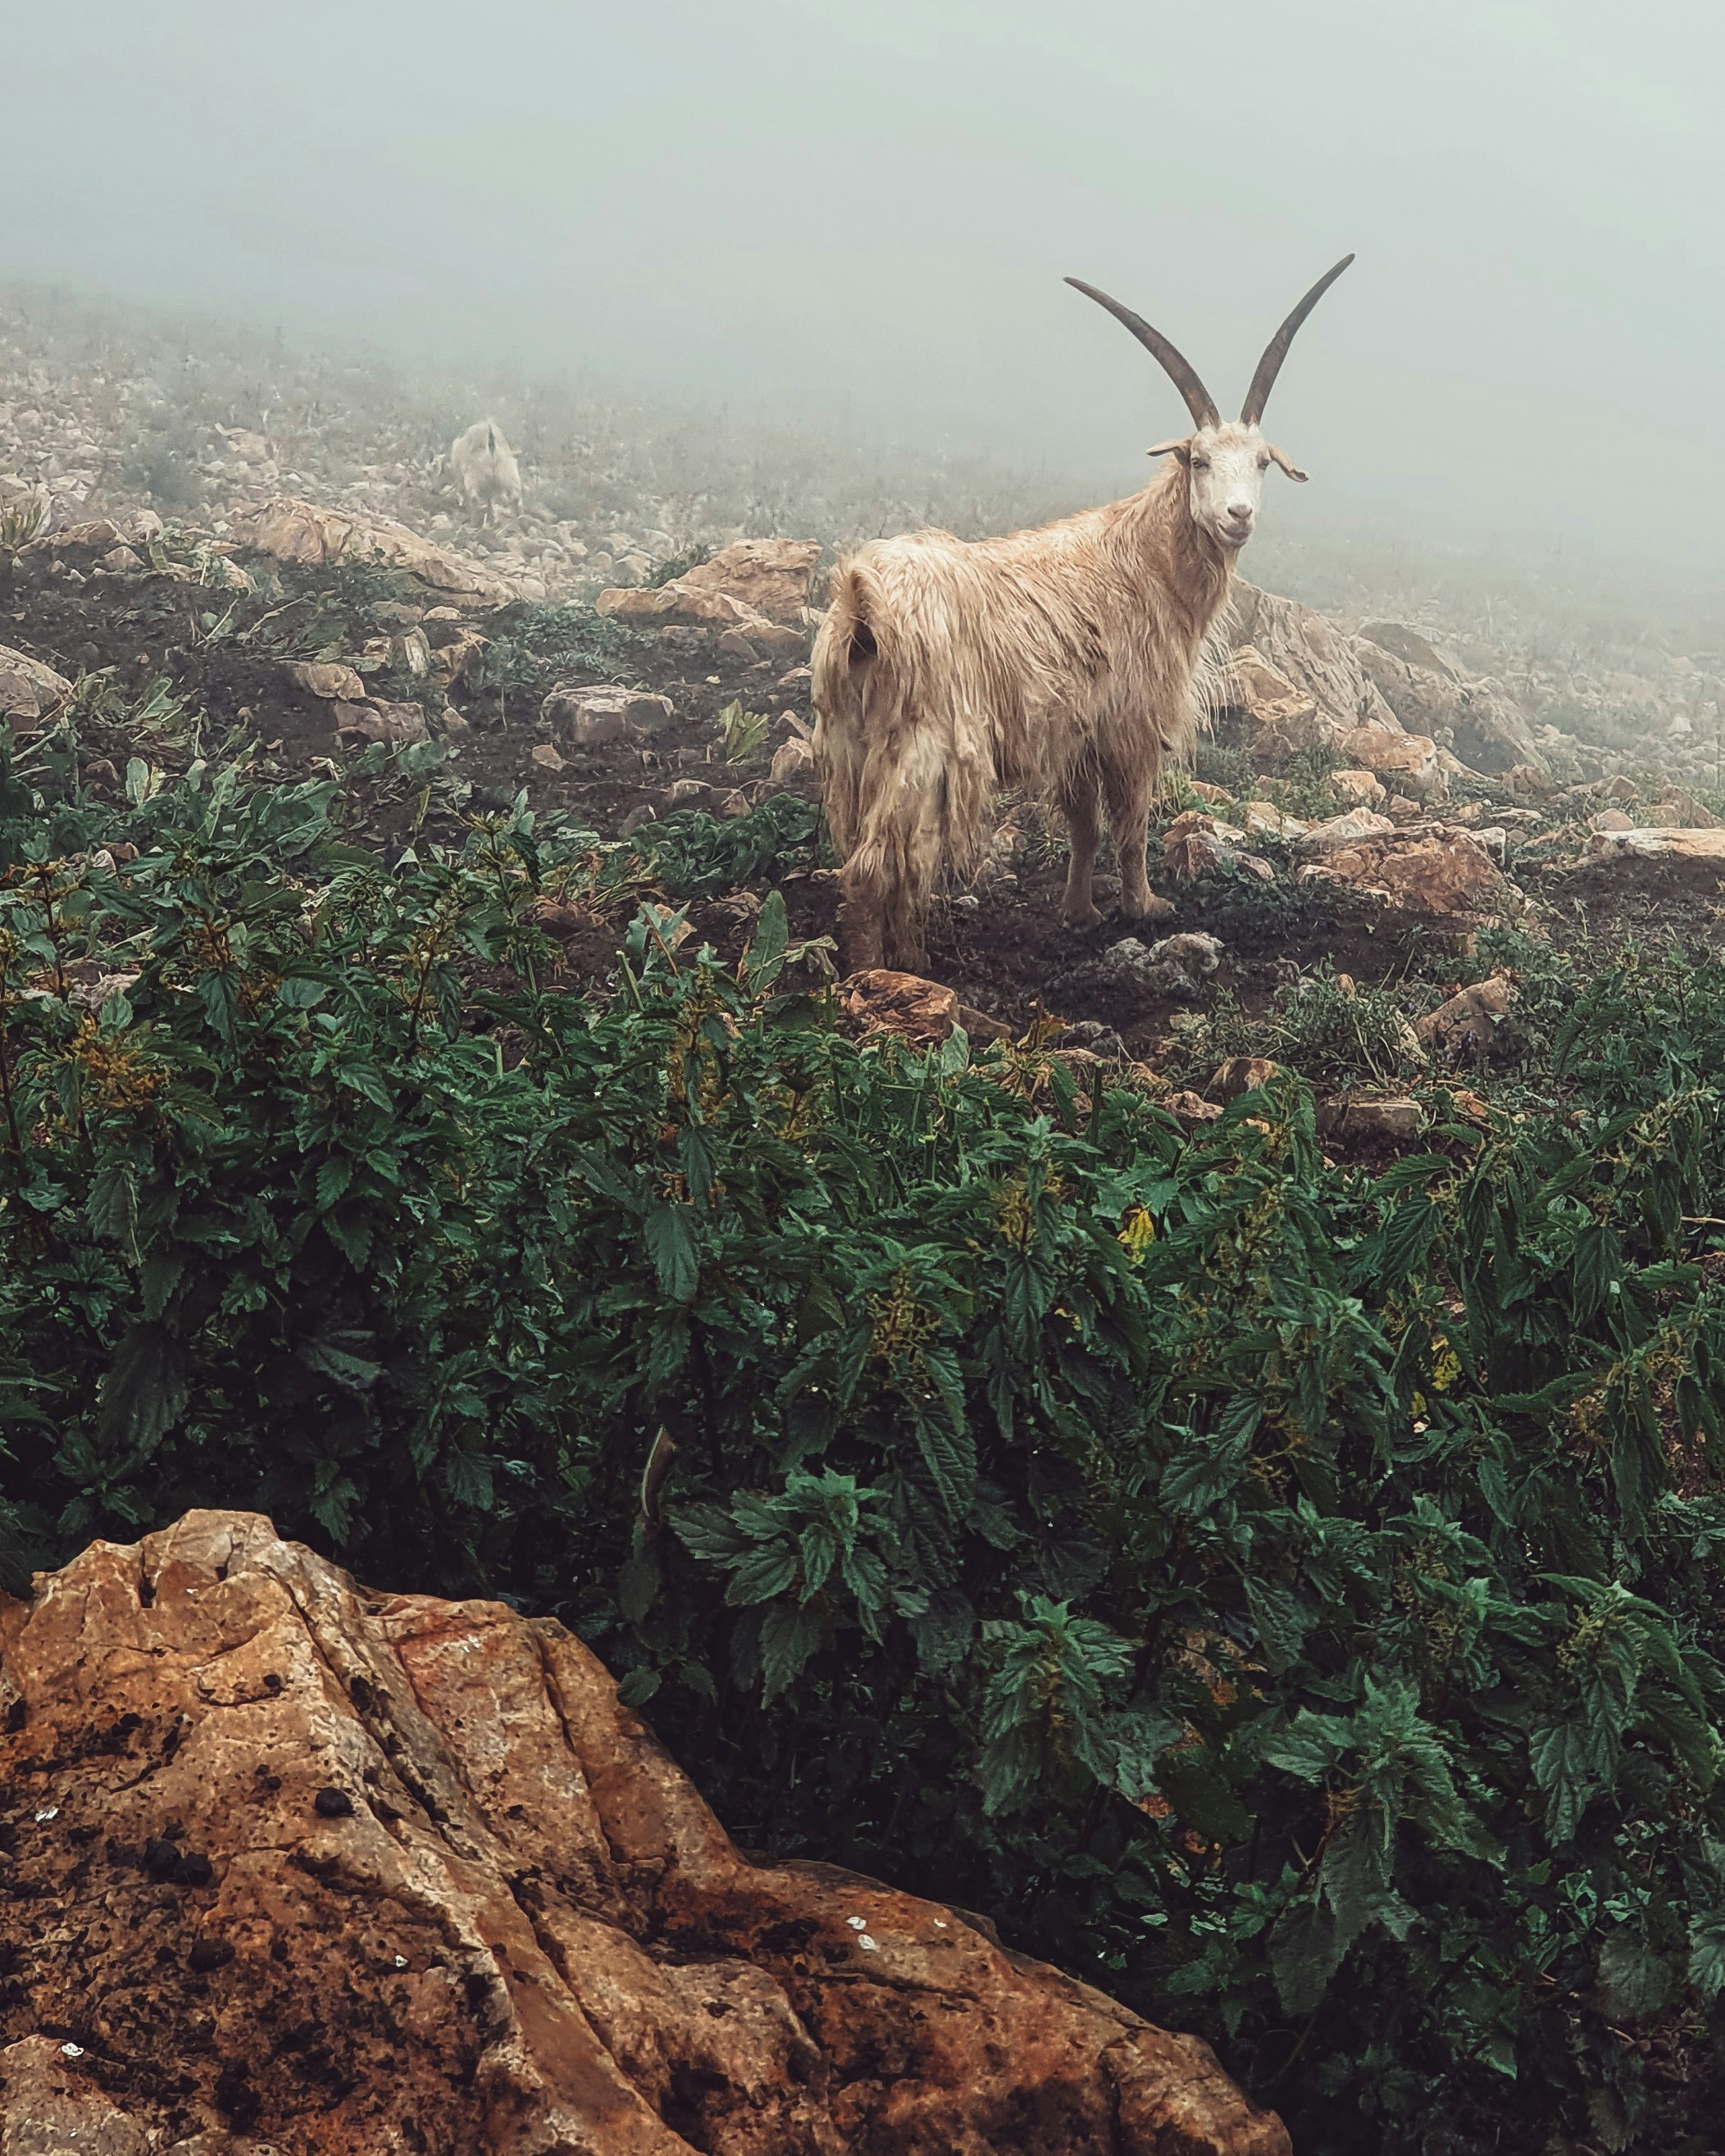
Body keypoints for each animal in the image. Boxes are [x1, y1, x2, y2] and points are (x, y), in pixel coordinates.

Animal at [448, 419, 523, 526]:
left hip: (474, 475)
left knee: (474, 497)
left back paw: (473, 522)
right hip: (509, 473)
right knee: (515, 496)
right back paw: (518, 519)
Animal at [812, 259, 1353, 971]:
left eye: (1262, 462)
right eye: (1199, 459)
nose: (1238, 516)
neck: (1145, 557)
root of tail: (862, 602)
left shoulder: (1074, 734)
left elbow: (1084, 827)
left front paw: (1077, 912)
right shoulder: (1131, 720)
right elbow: (1131, 824)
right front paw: (1144, 906)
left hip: (851, 747)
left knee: (874, 857)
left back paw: (909, 957)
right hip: (922, 749)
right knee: (874, 868)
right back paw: (884, 972)